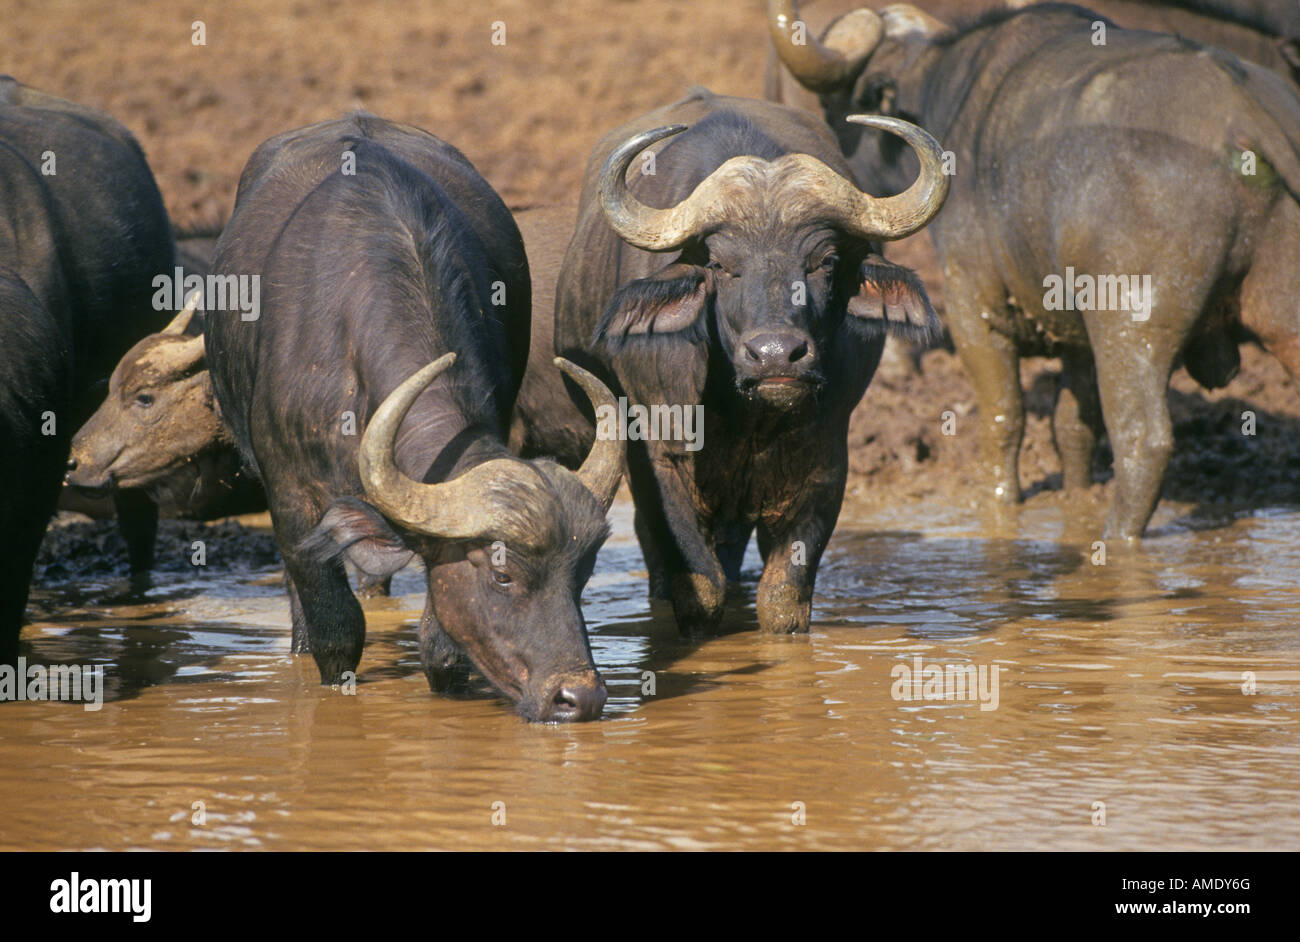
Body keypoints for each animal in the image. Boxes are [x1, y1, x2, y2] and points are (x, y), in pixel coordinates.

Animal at [205, 113, 624, 721]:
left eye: (583, 574)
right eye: (502, 574)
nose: (580, 697)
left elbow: (442, 647)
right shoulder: (291, 499)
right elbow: (336, 632)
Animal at [545, 89, 947, 634]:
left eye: (824, 262)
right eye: (719, 265)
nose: (776, 355)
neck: (745, 414)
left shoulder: (826, 460)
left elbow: (783, 599)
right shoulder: (658, 460)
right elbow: (701, 590)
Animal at [769, 1, 1300, 538]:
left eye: (841, 104)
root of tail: (1244, 111)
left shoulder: (974, 309)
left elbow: (1005, 417)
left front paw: (999, 505)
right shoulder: (1076, 335)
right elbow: (1072, 426)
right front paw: (1076, 501)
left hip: (1132, 331)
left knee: (1143, 440)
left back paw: (1116, 537)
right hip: (1279, 318)